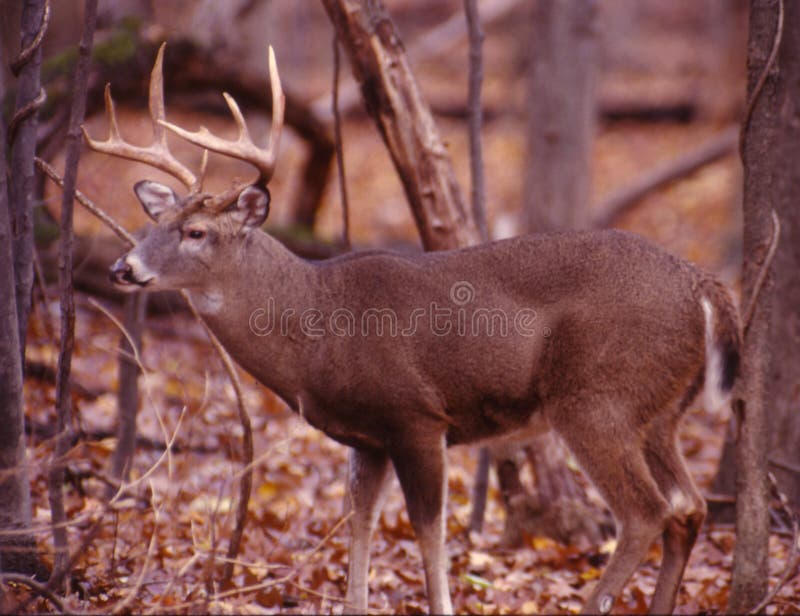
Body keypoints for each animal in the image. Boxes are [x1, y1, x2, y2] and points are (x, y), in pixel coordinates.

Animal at [84, 44, 741, 615]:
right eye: (154, 222)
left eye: (196, 232)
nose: (123, 267)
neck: (316, 327)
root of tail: (701, 284)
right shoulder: (368, 438)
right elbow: (361, 525)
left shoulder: (417, 416)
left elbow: (430, 537)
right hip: (658, 412)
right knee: (689, 507)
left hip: (597, 397)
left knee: (646, 513)